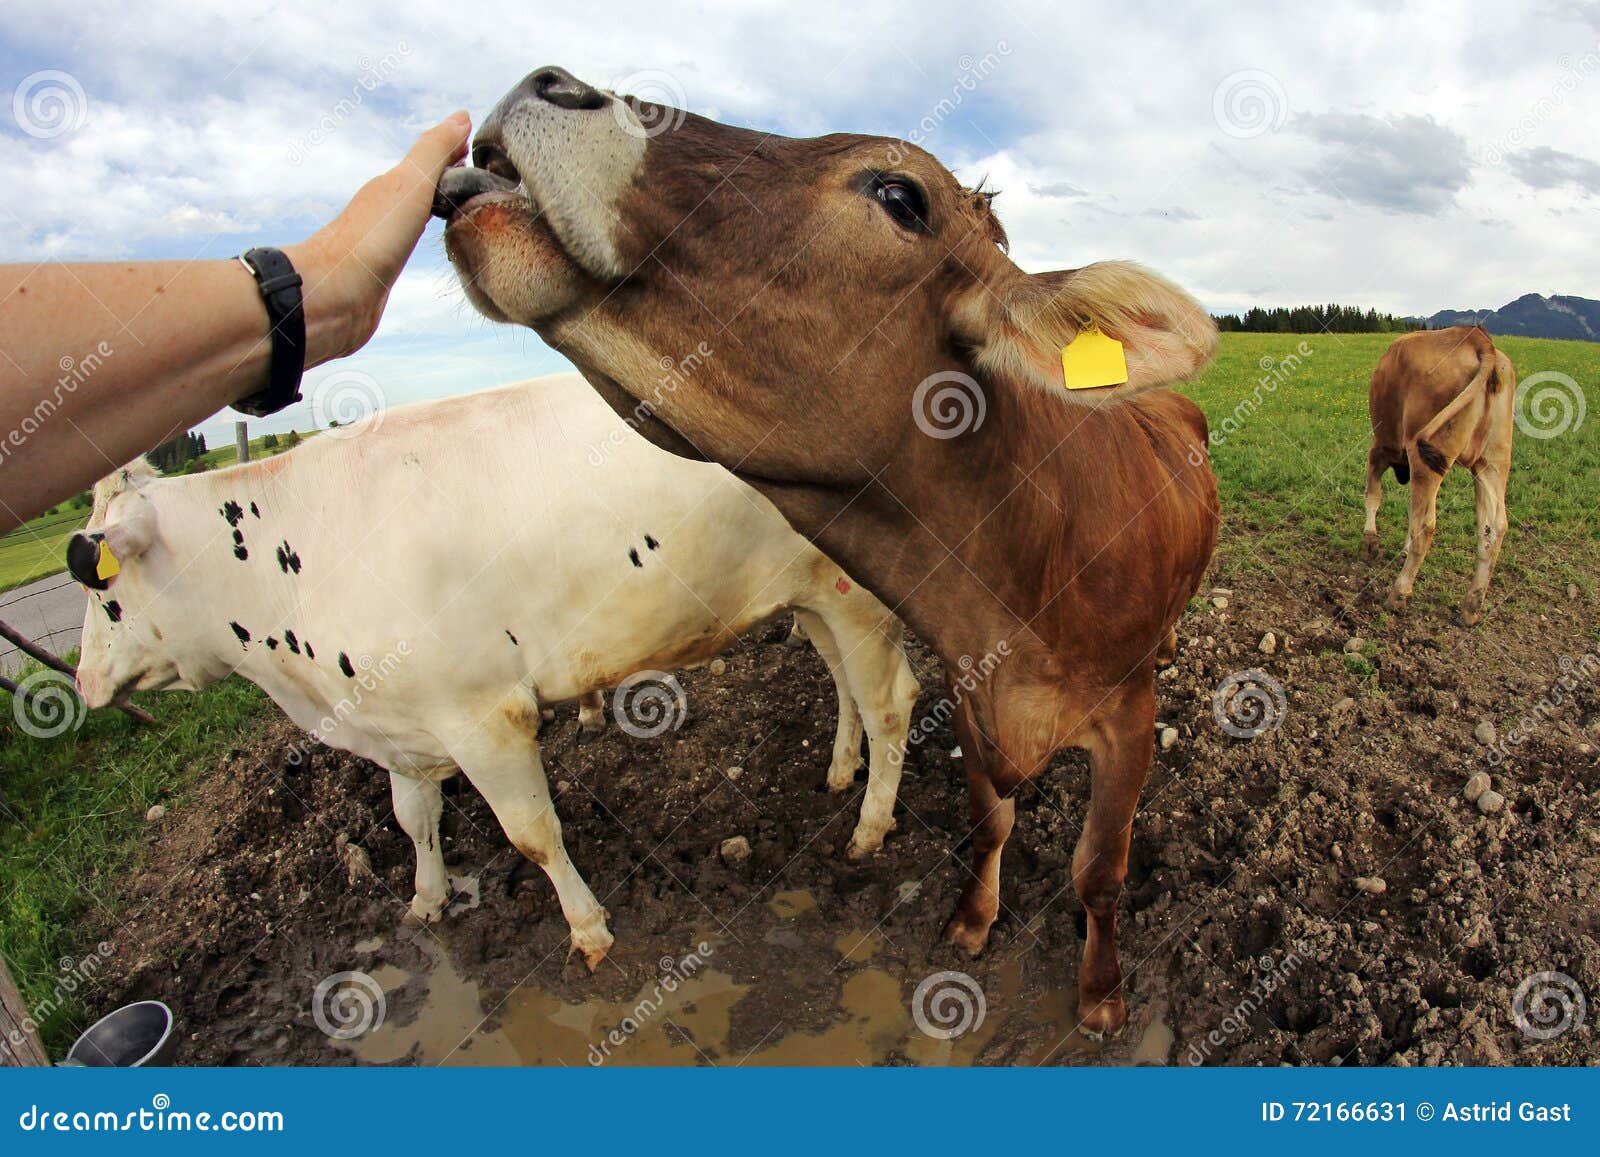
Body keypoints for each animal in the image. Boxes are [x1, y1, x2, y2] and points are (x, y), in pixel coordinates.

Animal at [70, 373, 918, 967]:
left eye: (104, 592)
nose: (81, 684)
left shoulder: (483, 716)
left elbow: (532, 833)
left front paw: (587, 927)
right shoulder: (400, 716)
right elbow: (412, 817)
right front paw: (426, 900)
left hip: (858, 594)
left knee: (892, 701)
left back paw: (870, 828)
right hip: (809, 594)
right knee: (843, 681)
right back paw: (840, 771)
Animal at [434, 66, 1220, 1033]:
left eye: (900, 194)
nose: (550, 83)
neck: (1027, 569)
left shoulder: (1128, 720)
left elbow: (1100, 873)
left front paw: (1102, 994)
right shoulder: (969, 691)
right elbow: (990, 822)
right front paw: (972, 920)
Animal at [1362, 325, 1515, 625]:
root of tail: (1477, 338)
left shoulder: (1381, 447)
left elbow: (1374, 495)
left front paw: (1370, 542)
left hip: (1425, 457)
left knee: (1425, 525)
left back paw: (1398, 595)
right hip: (1493, 460)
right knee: (1494, 527)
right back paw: (1471, 607)